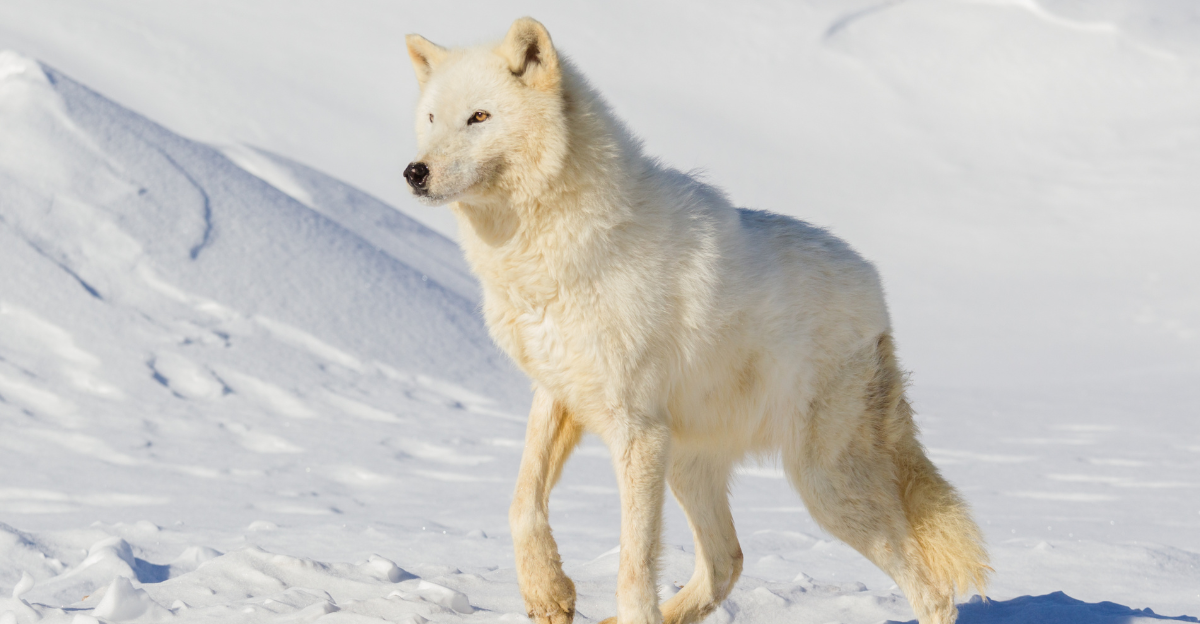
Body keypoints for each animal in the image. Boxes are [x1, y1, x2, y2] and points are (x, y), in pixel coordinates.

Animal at [402, 17, 989, 624]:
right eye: (431, 118)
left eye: (479, 117)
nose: (414, 172)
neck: (556, 255)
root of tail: (878, 293)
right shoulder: (558, 395)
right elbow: (522, 500)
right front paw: (548, 591)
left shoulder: (637, 433)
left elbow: (634, 564)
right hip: (691, 464)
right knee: (728, 560)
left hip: (822, 487)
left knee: (929, 586)